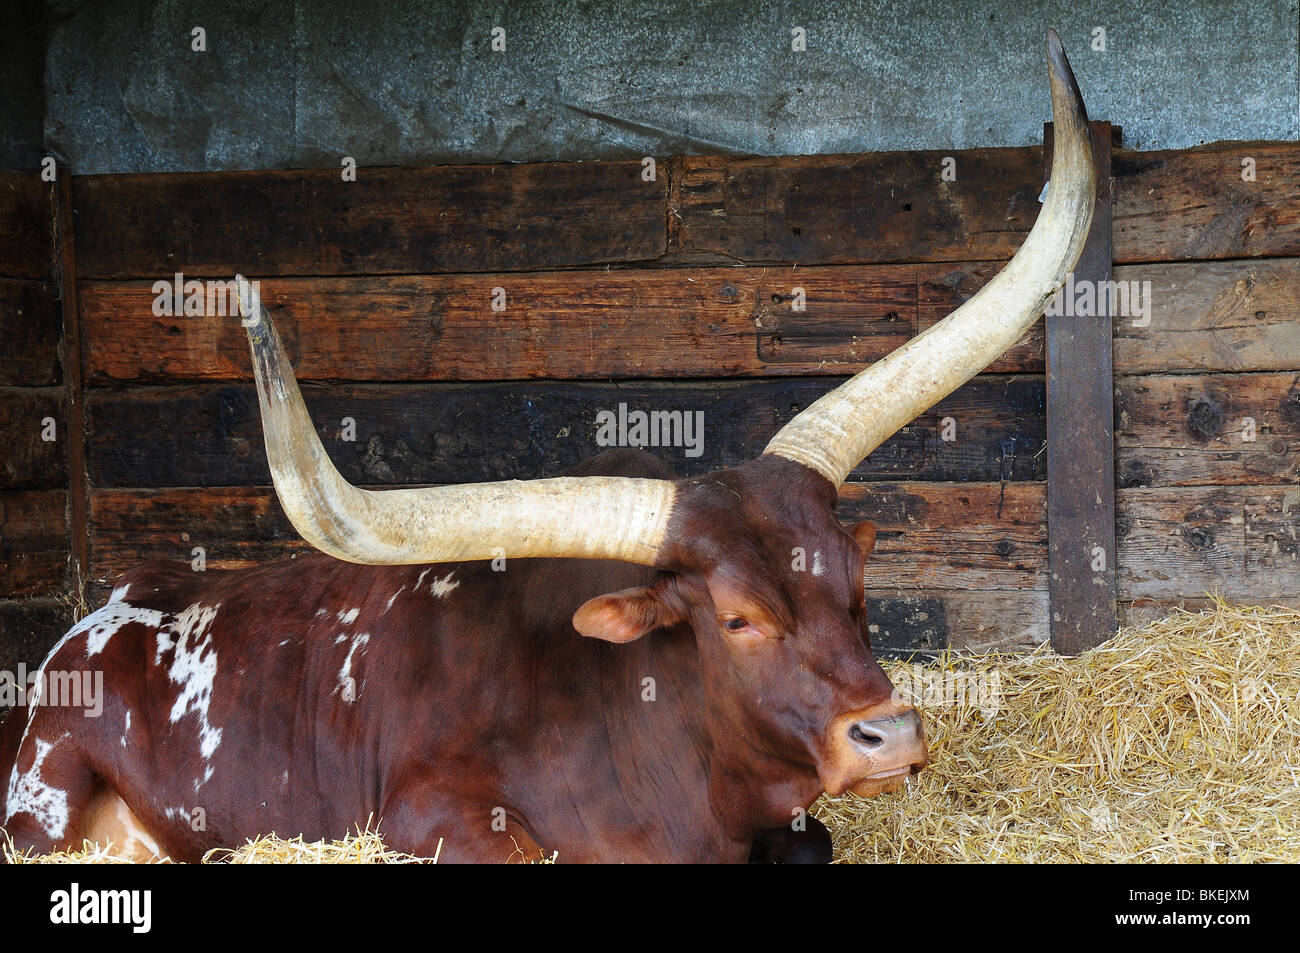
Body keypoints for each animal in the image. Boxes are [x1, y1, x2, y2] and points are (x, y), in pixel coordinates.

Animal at [0, 32, 1095, 863]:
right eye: (736, 619)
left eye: (852, 583)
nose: (888, 734)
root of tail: (98, 609)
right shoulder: (428, 811)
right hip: (46, 798)